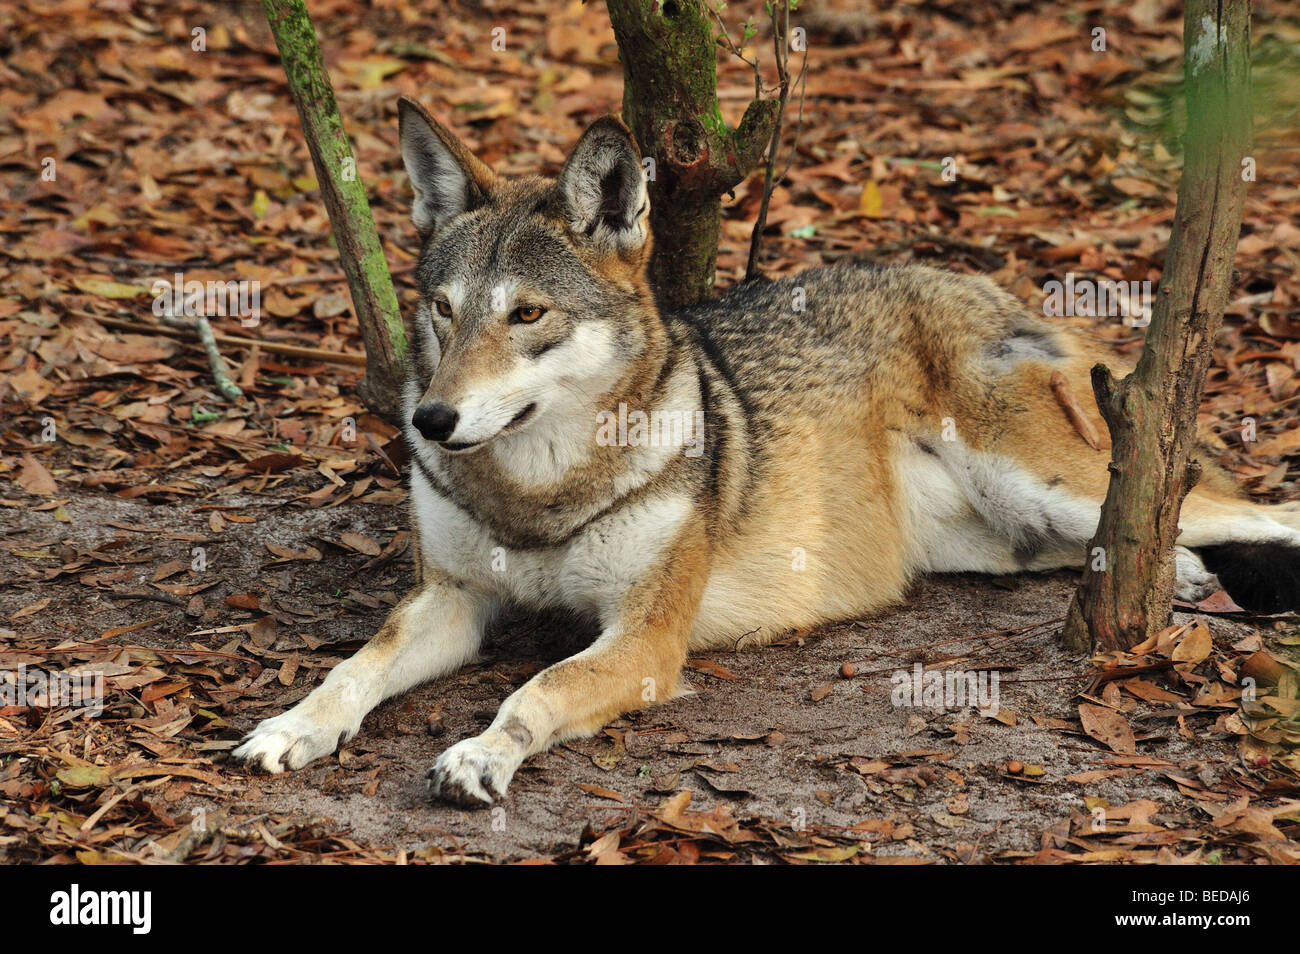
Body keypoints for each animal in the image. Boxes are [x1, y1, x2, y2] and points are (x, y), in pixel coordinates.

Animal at [234, 98, 1300, 805]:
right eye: (442, 311)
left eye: (526, 315)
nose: (432, 421)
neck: (541, 490)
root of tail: (983, 284)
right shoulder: (452, 600)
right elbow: (353, 669)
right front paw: (289, 727)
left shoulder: (646, 639)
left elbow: (542, 686)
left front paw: (480, 753)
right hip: (1005, 538)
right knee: (1157, 540)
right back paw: (1188, 580)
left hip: (1051, 485)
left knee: (1248, 508)